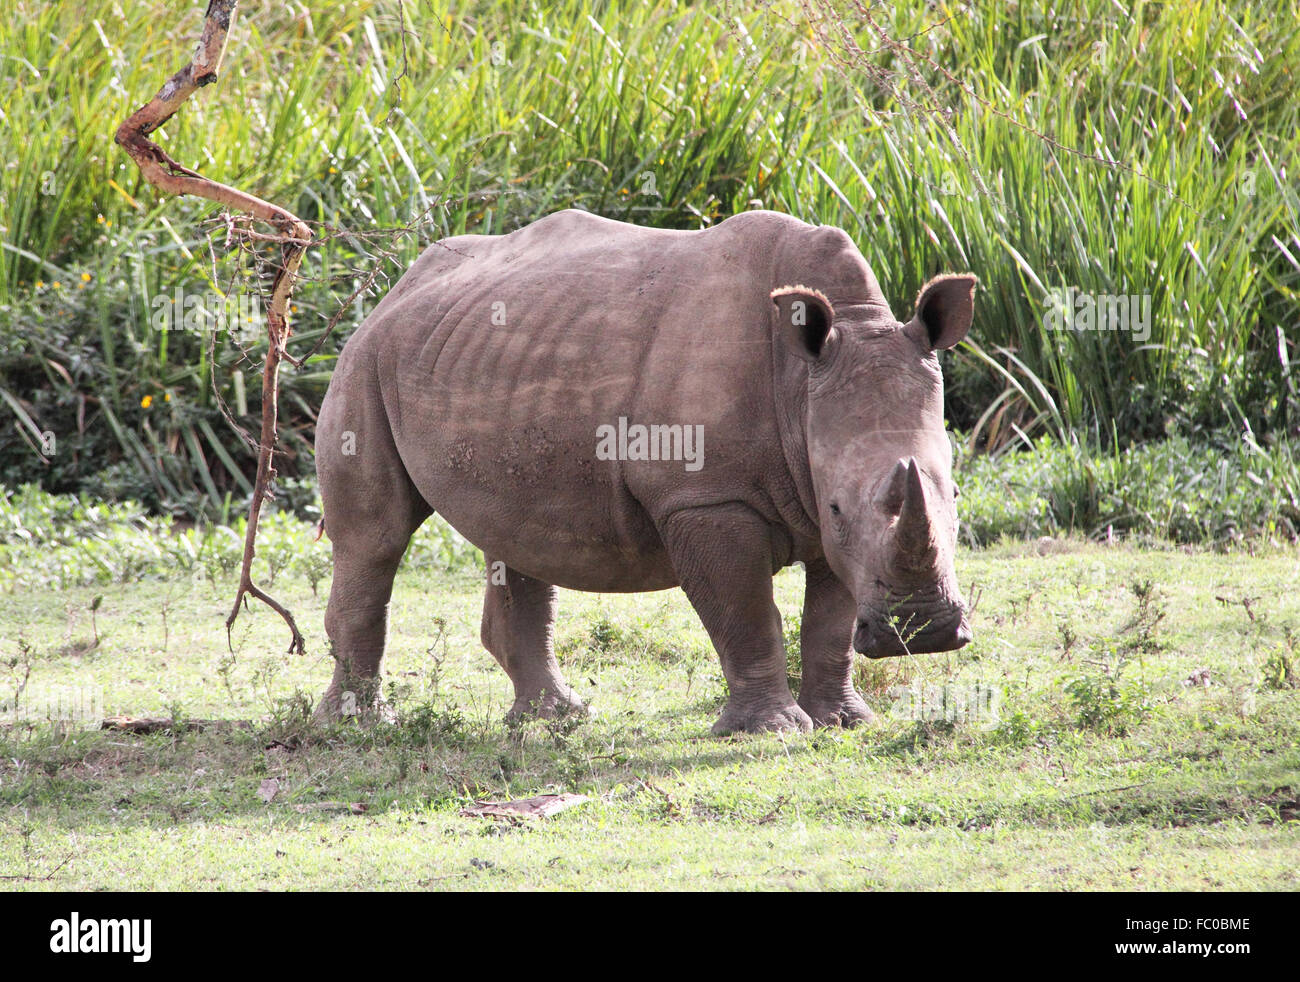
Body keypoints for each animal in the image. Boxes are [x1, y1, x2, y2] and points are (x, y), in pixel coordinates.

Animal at [313, 208, 975, 734]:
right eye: (838, 506)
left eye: (955, 496)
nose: (923, 631)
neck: (801, 384)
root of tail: (395, 288)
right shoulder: (704, 497)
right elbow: (746, 611)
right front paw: (773, 730)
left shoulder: (820, 494)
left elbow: (830, 619)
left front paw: (844, 721)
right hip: (364, 361)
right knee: (374, 539)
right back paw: (356, 727)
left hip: (488, 355)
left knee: (516, 534)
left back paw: (554, 720)